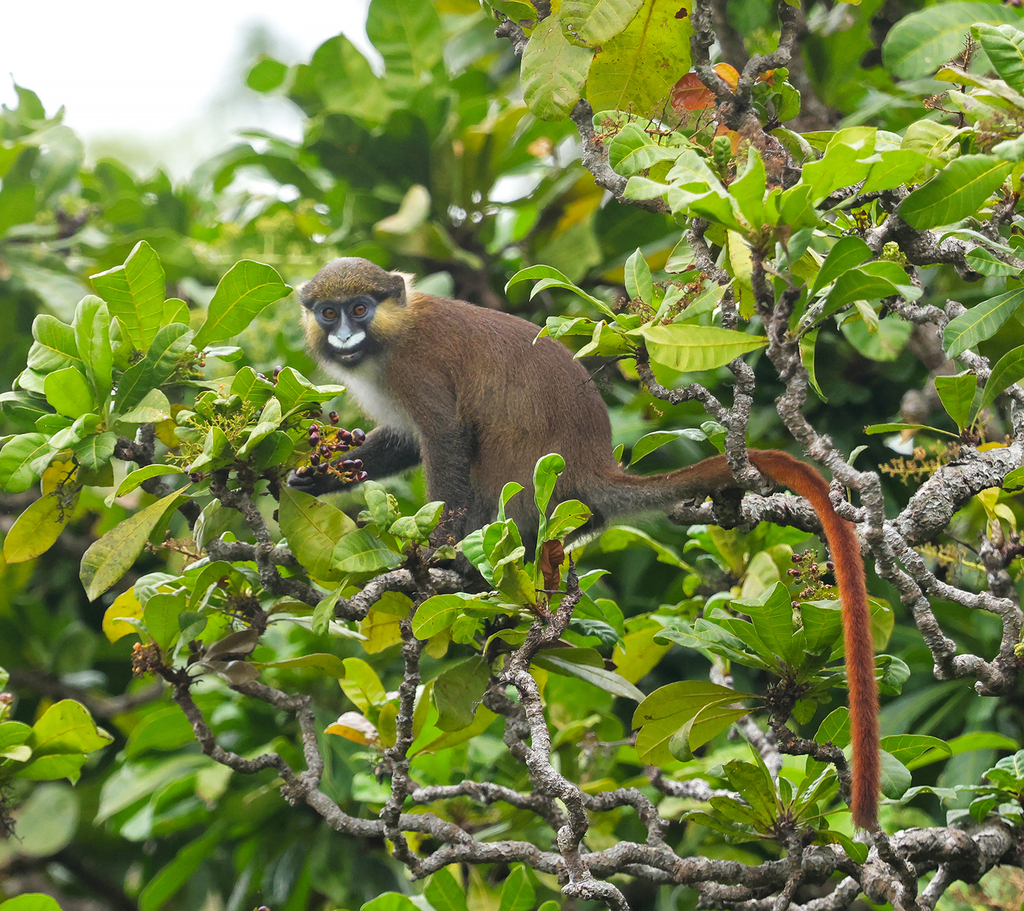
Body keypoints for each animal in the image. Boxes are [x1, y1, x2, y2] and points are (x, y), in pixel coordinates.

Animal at [288, 257, 880, 831]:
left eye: (360, 309)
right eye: (328, 312)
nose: (343, 336)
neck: (393, 334)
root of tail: (592, 470)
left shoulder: (418, 373)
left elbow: (446, 443)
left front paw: (437, 551)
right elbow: (402, 443)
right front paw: (314, 478)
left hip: (530, 482)